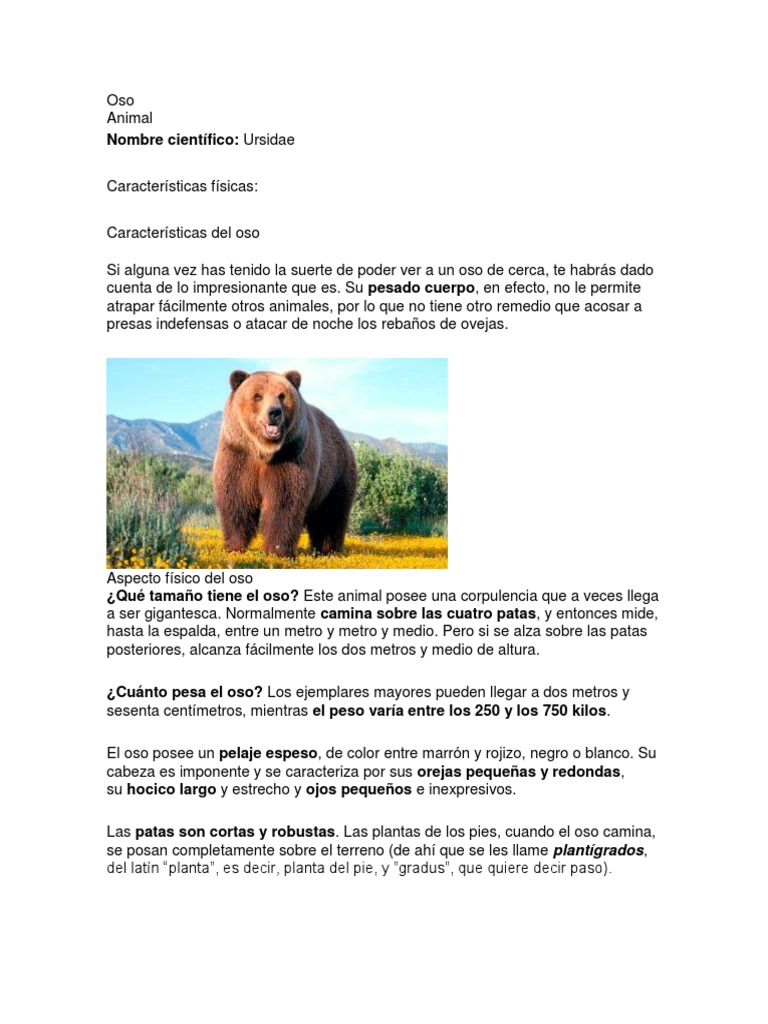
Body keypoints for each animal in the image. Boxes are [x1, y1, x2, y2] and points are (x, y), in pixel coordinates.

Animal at [213, 369, 357, 558]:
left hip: (336, 475)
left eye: (282, 395)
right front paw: (234, 546)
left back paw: (329, 550)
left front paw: (277, 550)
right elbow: (237, 498)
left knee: (331, 515)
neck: (263, 450)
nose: (274, 412)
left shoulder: (290, 455)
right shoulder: (238, 454)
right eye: (257, 395)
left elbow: (284, 501)